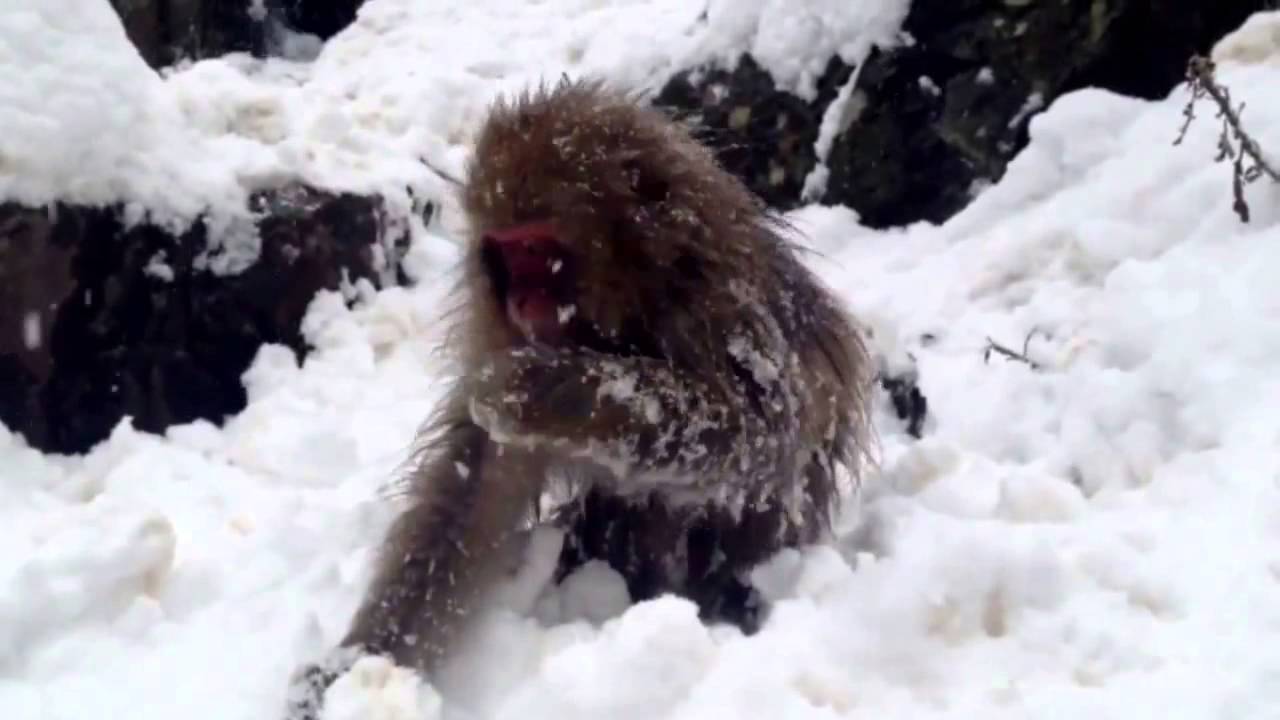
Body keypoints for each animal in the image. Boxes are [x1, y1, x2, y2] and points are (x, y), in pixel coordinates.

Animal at [283, 77, 874, 719]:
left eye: (539, 251)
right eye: (504, 253)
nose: (522, 302)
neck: (632, 293)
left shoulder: (726, 302)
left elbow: (760, 440)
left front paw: (544, 391)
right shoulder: (498, 330)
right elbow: (479, 485)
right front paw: (362, 661)